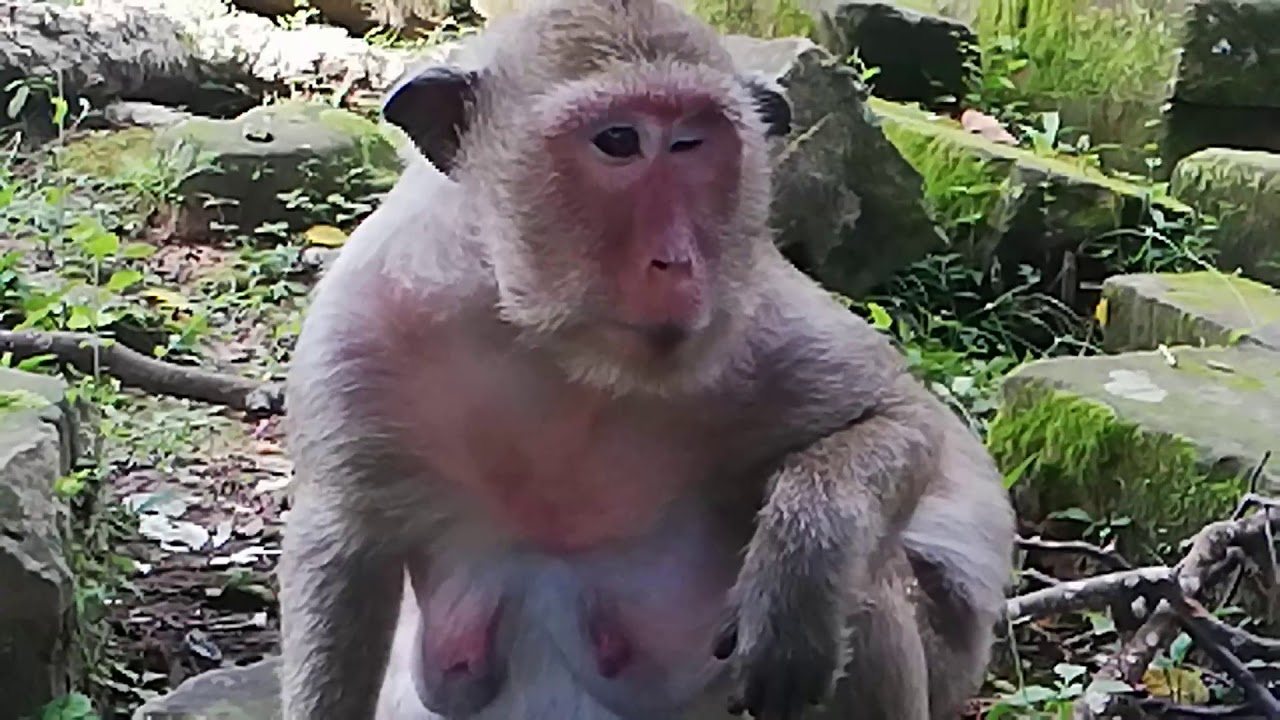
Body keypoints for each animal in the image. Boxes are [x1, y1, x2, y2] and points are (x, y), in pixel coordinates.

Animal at [277, 0, 1016, 717]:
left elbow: (900, 417)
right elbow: (345, 553)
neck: (558, 351)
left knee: (873, 582)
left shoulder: (750, 318)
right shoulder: (362, 326)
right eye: (618, 142)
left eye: (691, 143)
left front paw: (804, 566)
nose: (676, 261)